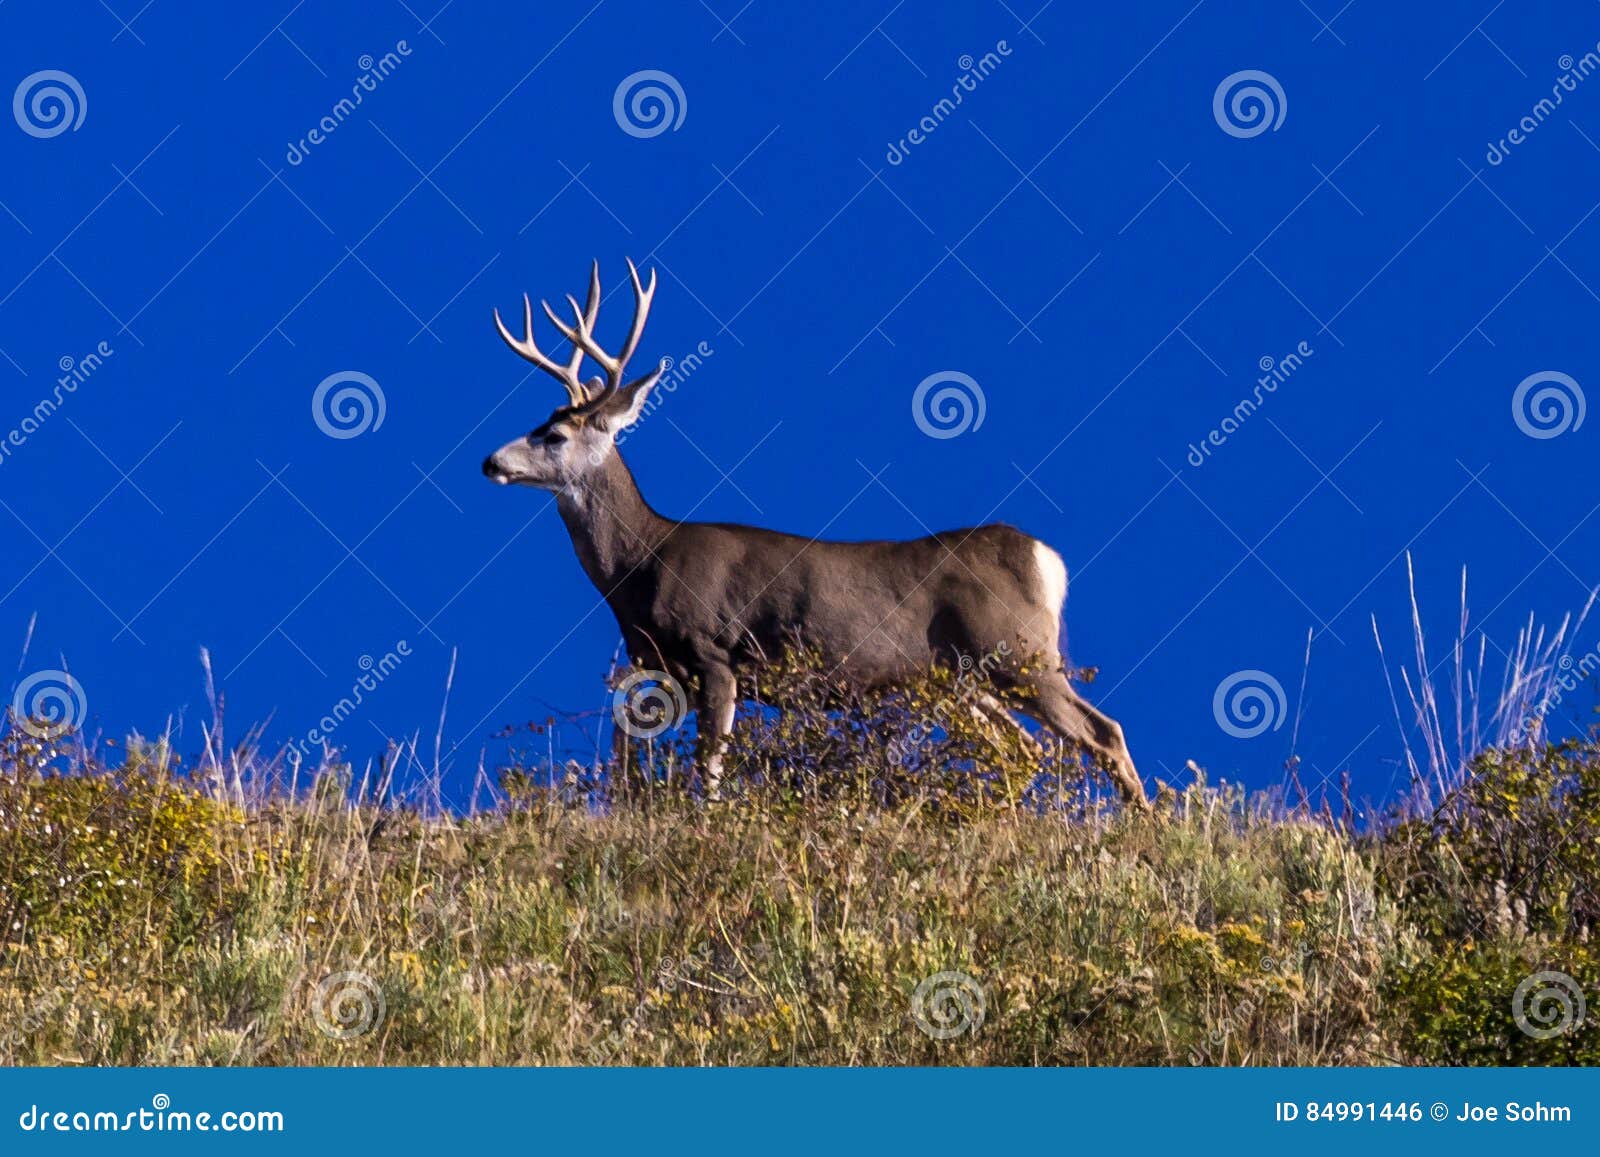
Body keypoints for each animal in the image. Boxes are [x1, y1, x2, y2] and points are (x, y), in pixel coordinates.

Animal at [481, 260, 1149, 809]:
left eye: (554, 435)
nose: (491, 461)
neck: (640, 566)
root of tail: (1045, 558)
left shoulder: (715, 652)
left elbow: (709, 765)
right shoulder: (651, 661)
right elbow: (624, 747)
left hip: (1020, 650)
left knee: (1103, 732)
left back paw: (1145, 824)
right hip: (968, 681)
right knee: (1024, 749)